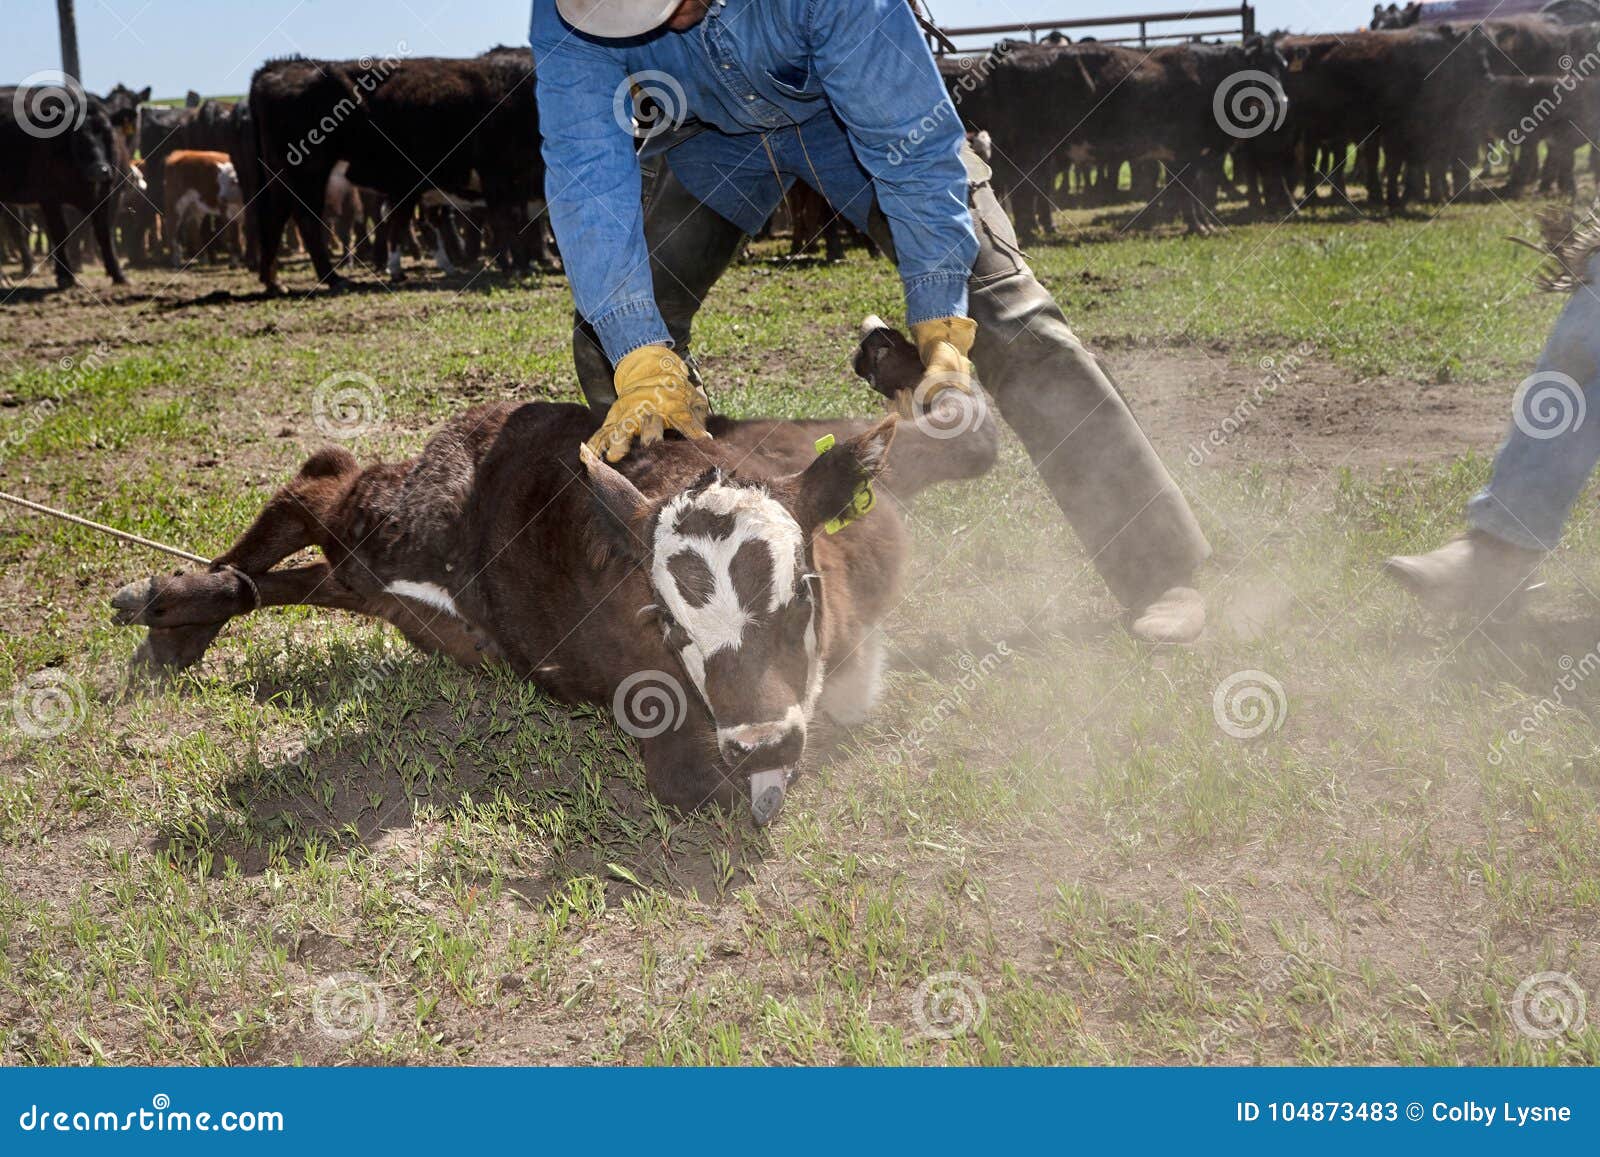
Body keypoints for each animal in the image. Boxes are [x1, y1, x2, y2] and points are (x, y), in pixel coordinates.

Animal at [0, 84, 132, 288]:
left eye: (109, 134)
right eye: (78, 138)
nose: (100, 170)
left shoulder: (106, 194)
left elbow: (105, 233)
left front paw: (118, 274)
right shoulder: (49, 198)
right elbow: (60, 233)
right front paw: (65, 276)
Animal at [108, 321, 999, 824]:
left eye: (800, 593)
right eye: (667, 625)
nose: (760, 740)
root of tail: (477, 423)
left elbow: (968, 435)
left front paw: (908, 354)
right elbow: (692, 780)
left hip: (391, 588)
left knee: (320, 568)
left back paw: (181, 613)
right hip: (401, 527)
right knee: (318, 478)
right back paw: (178, 601)